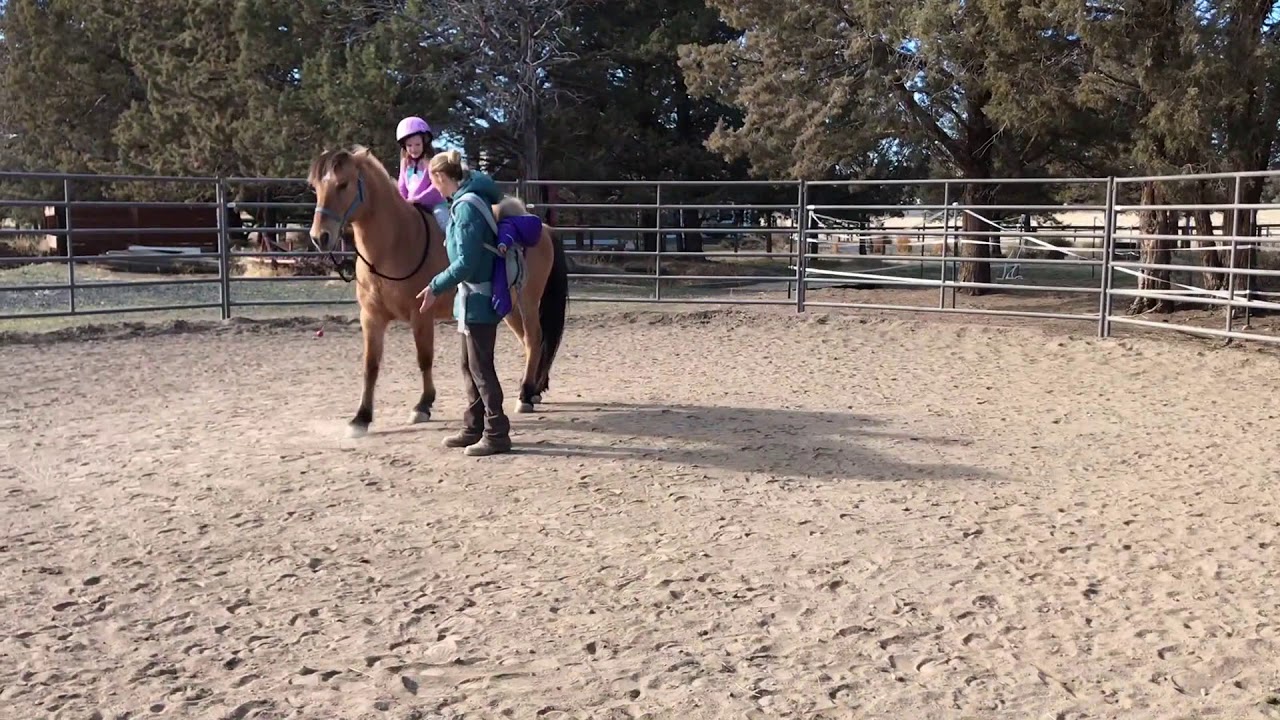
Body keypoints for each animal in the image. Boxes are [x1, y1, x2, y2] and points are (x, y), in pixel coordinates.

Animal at [306, 145, 569, 438]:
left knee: (535, 339)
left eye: (343, 184)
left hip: (527, 302)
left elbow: (424, 359)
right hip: (508, 307)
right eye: (315, 187)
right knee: (528, 342)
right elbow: (370, 366)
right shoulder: (371, 317)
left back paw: (525, 395)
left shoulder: (421, 315)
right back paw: (533, 390)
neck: (394, 243)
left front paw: (423, 405)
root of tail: (544, 229)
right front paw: (361, 418)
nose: (319, 237)